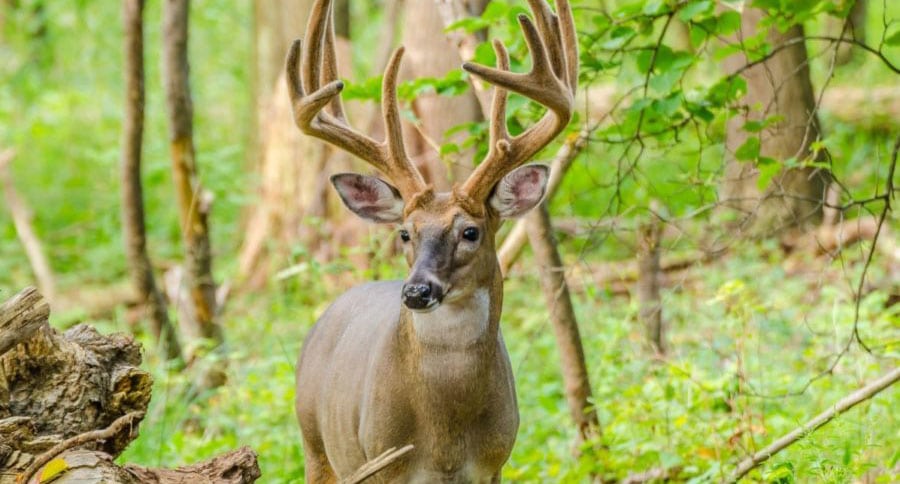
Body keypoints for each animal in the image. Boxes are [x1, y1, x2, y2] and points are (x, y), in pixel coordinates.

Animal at [288, 0, 578, 481]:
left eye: (470, 231)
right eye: (406, 232)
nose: (416, 291)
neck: (445, 442)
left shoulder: (495, 462)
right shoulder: (382, 461)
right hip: (316, 443)